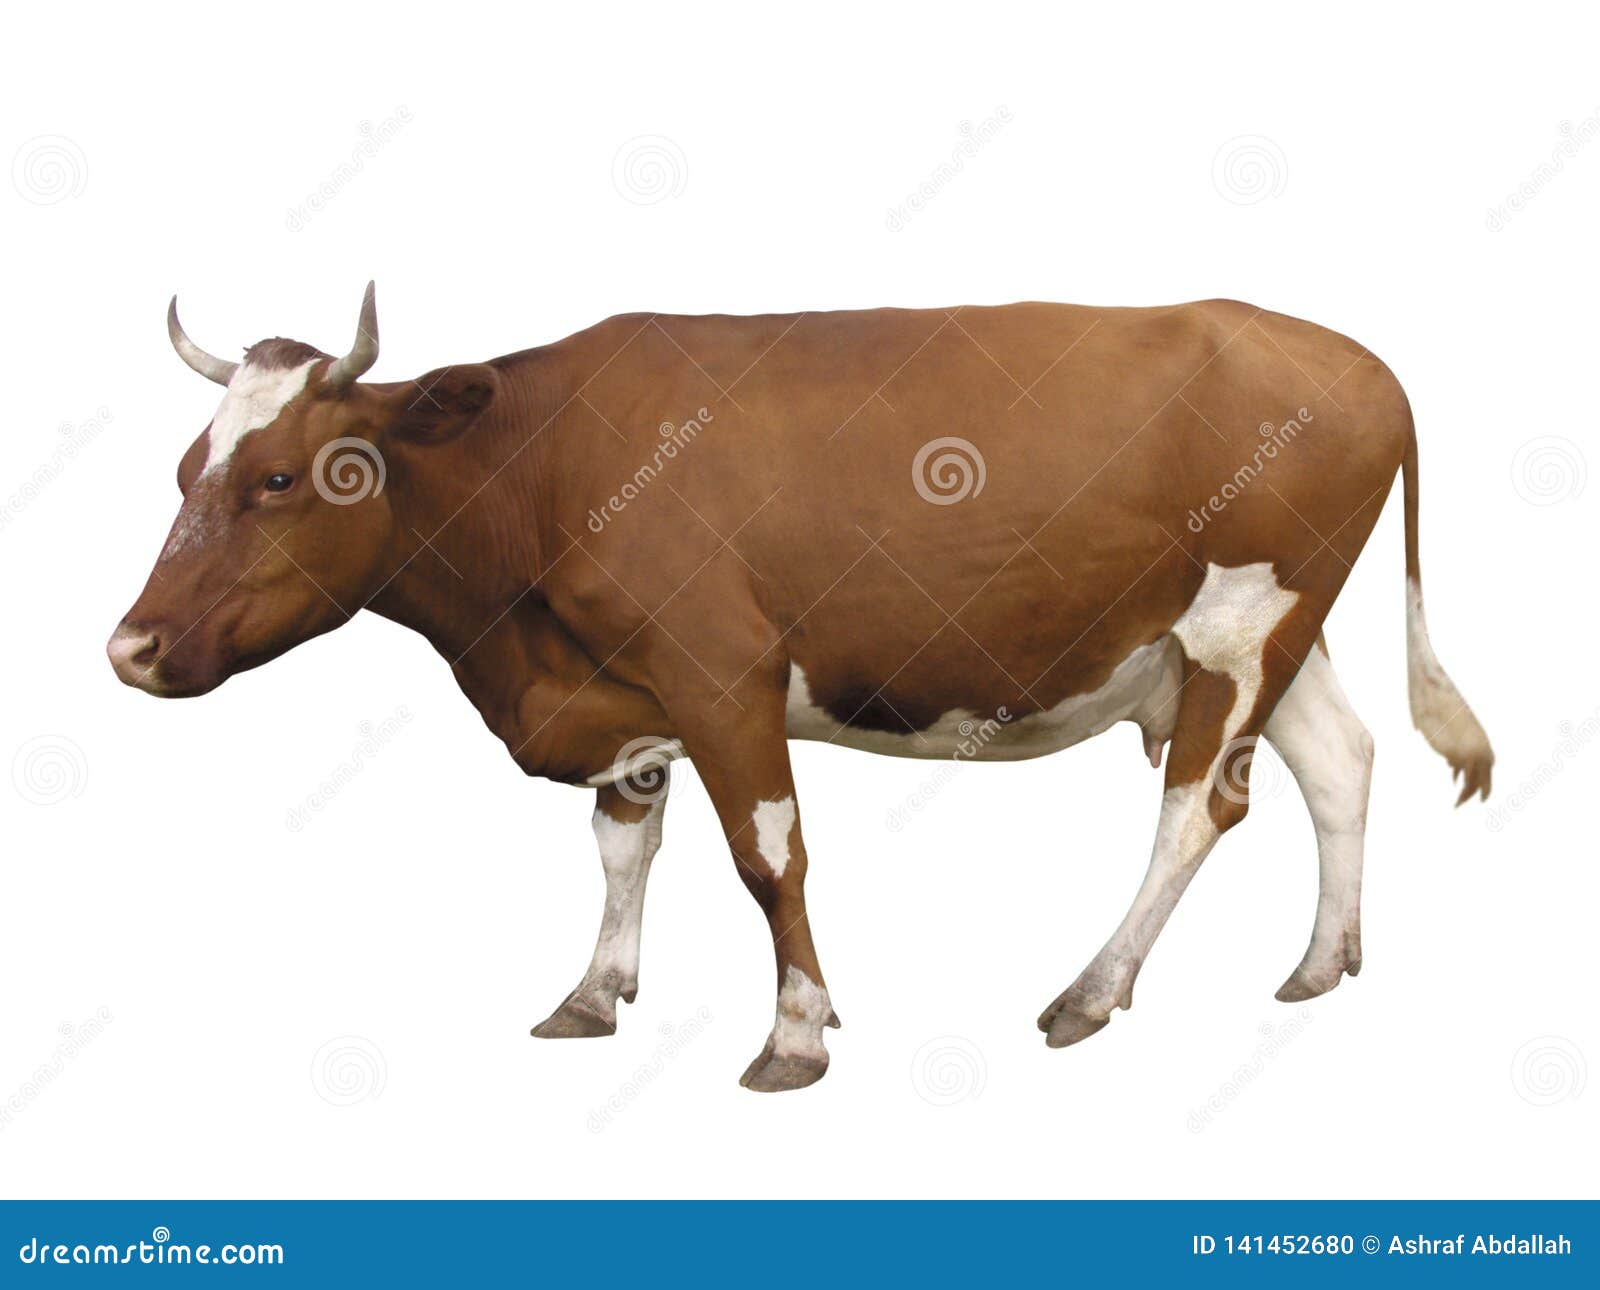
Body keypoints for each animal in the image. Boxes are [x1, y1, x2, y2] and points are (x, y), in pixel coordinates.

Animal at [109, 285, 1493, 1091]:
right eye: (182, 469)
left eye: (285, 476)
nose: (130, 650)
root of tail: (1355, 358)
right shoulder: (624, 699)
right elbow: (622, 850)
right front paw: (591, 994)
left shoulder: (720, 670)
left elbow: (767, 856)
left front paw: (793, 1033)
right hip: (1264, 631)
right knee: (1341, 763)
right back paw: (1321, 962)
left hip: (1239, 626)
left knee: (1200, 807)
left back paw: (1090, 993)